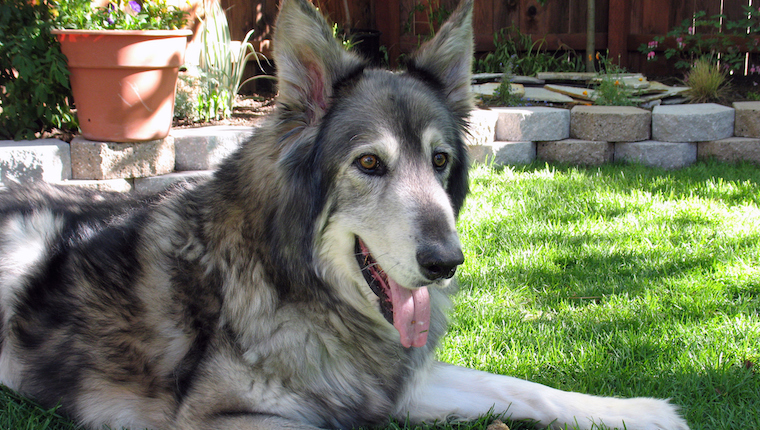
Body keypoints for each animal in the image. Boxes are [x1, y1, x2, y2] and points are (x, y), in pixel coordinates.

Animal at [0, 0, 689, 429]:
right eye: (369, 163)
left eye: (440, 160)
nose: (446, 263)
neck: (301, 288)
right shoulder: (218, 415)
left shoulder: (395, 383)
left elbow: (521, 387)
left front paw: (640, 411)